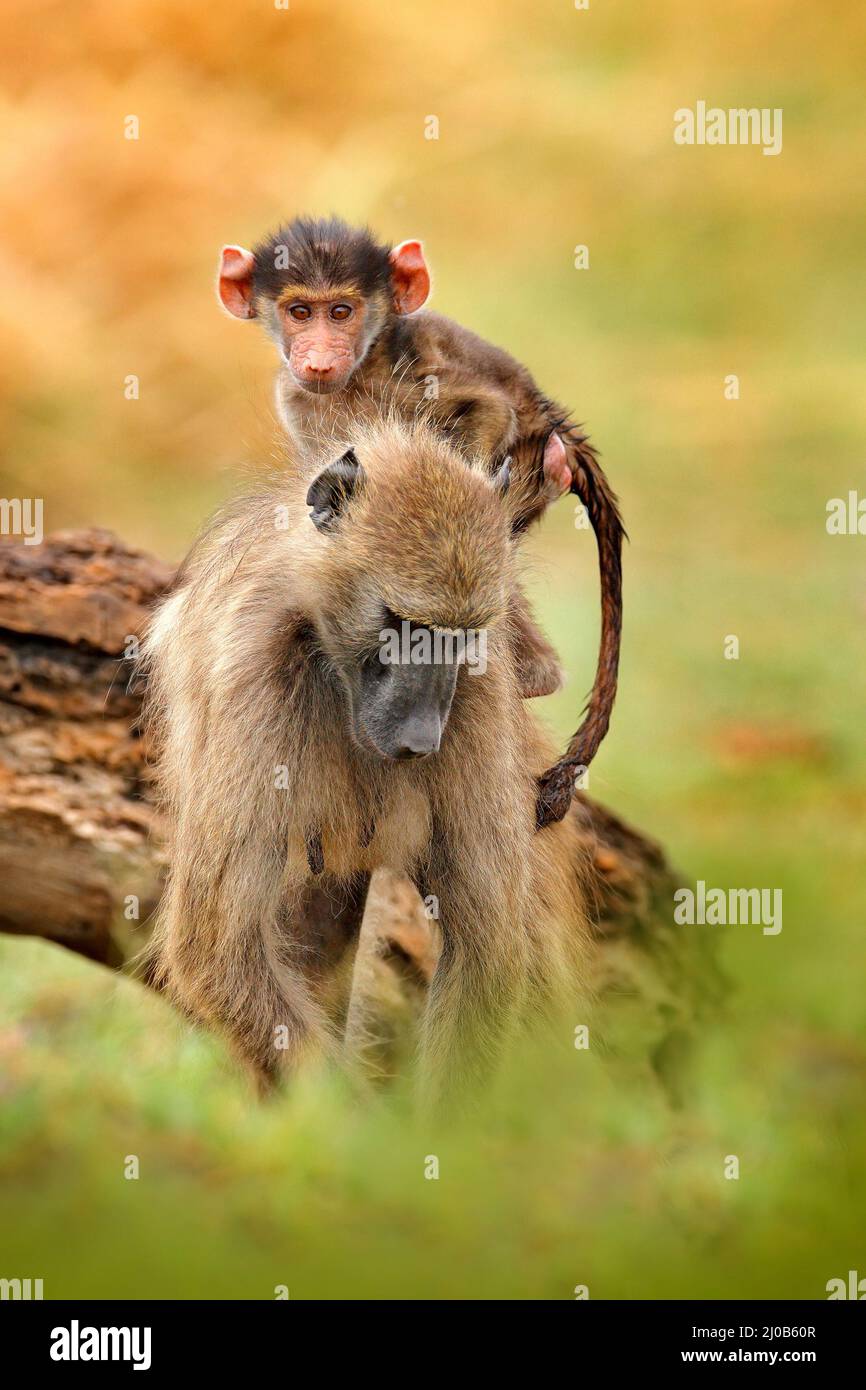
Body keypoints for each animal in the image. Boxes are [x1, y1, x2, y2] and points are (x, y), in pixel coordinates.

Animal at [143, 418, 588, 1108]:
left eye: (457, 638)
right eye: (402, 626)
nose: (420, 738)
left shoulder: (481, 680)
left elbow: (487, 944)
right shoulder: (254, 663)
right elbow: (219, 943)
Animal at [217, 216, 625, 829]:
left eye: (341, 311)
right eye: (299, 312)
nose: (318, 357)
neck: (363, 369)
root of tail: (555, 421)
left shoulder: (426, 368)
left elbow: (485, 414)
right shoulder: (297, 398)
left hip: (530, 456)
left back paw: (532, 672)